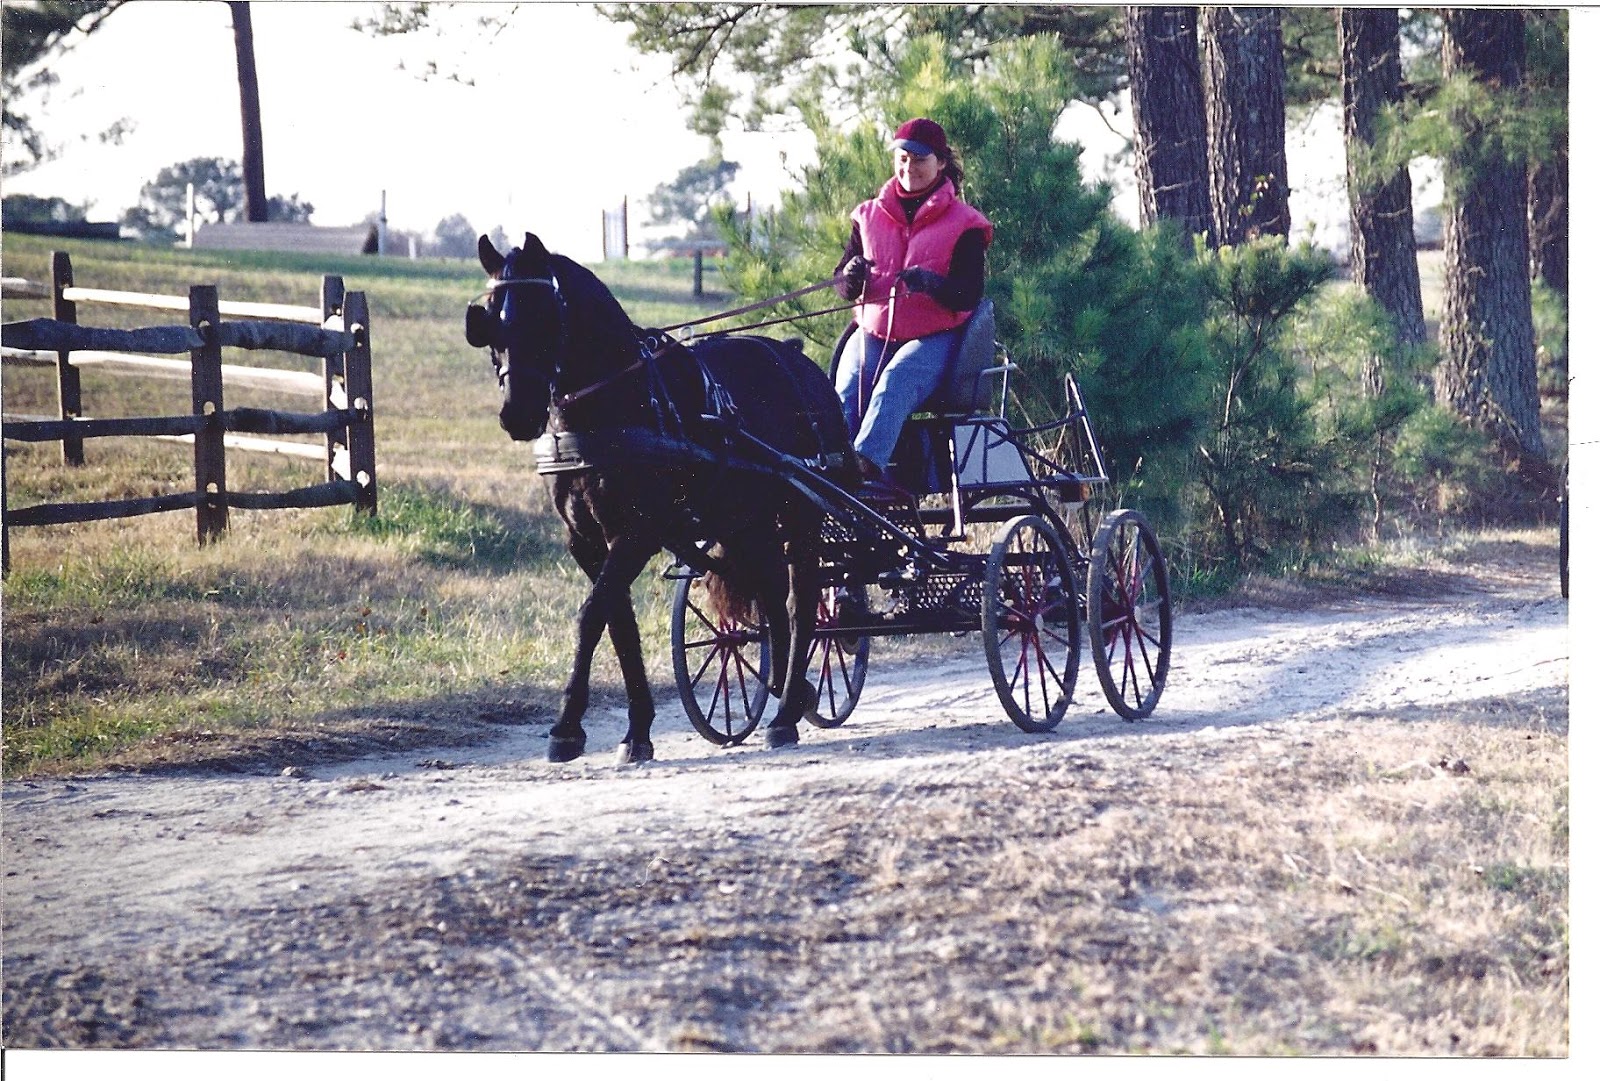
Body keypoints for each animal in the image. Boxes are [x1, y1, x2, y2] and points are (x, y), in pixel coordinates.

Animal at [467, 232, 858, 764]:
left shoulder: (638, 532)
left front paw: (567, 727)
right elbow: (618, 623)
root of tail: (800, 361)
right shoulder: (586, 541)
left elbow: (591, 615)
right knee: (772, 599)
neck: (618, 403)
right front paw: (637, 728)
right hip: (748, 523)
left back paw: (785, 711)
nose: (517, 414)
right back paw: (790, 695)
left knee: (801, 605)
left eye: (543, 313)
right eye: (490, 318)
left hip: (801, 514)